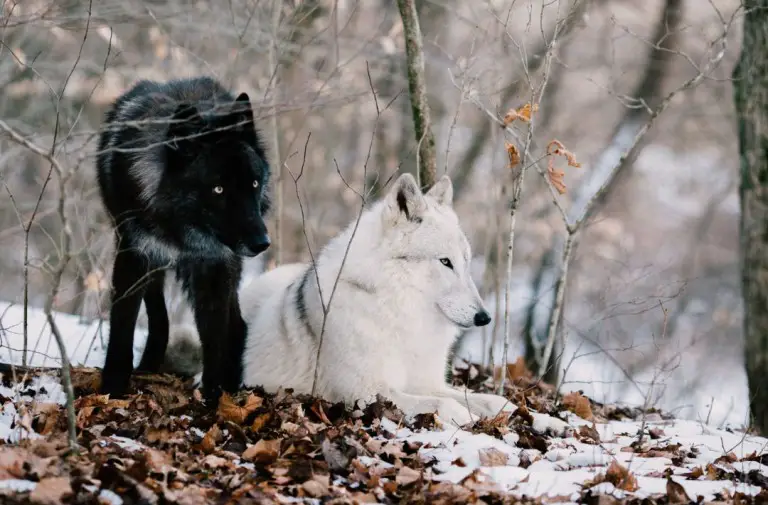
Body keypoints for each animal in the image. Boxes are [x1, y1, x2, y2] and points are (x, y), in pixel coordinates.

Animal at [95, 76, 271, 404]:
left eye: (254, 183)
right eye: (218, 189)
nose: (261, 243)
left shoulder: (213, 265)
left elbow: (215, 337)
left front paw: (213, 399)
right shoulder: (134, 254)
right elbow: (123, 326)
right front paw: (113, 387)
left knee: (237, 326)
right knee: (160, 316)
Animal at [165, 173, 515, 426]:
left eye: (465, 262)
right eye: (445, 262)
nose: (484, 317)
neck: (397, 311)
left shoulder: (425, 381)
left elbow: (480, 398)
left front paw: (516, 411)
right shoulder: (367, 392)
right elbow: (443, 404)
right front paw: (467, 418)